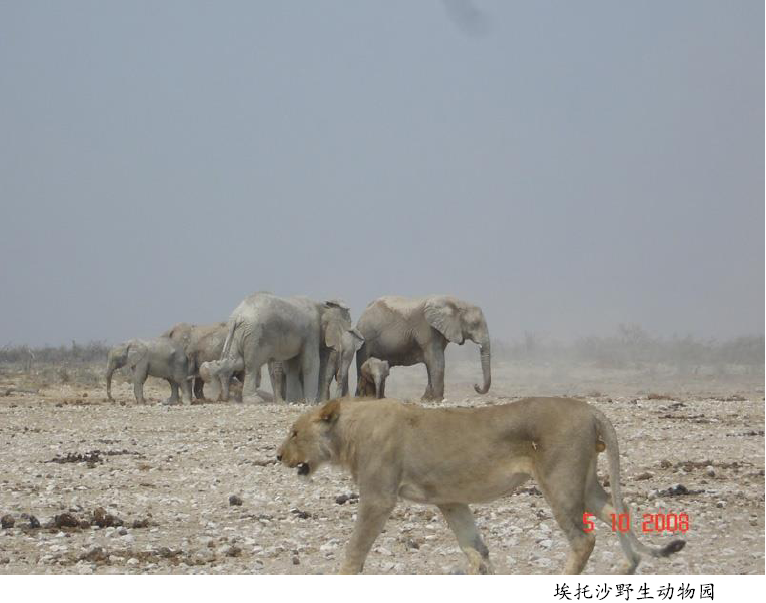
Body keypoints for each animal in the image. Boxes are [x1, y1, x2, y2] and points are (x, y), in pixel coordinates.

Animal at [222, 294, 354, 406]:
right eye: (349, 323)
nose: (321, 402)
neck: (323, 307)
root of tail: (238, 315)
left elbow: (292, 366)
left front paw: (295, 401)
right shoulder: (311, 332)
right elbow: (311, 364)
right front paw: (310, 403)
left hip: (239, 333)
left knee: (235, 361)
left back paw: (225, 394)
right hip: (255, 334)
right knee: (252, 365)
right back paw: (254, 400)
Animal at [356, 294, 492, 402]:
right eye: (474, 324)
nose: (475, 385)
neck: (457, 302)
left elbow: (430, 363)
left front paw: (426, 399)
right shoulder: (428, 330)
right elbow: (436, 362)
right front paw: (438, 399)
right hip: (366, 337)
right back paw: (360, 397)